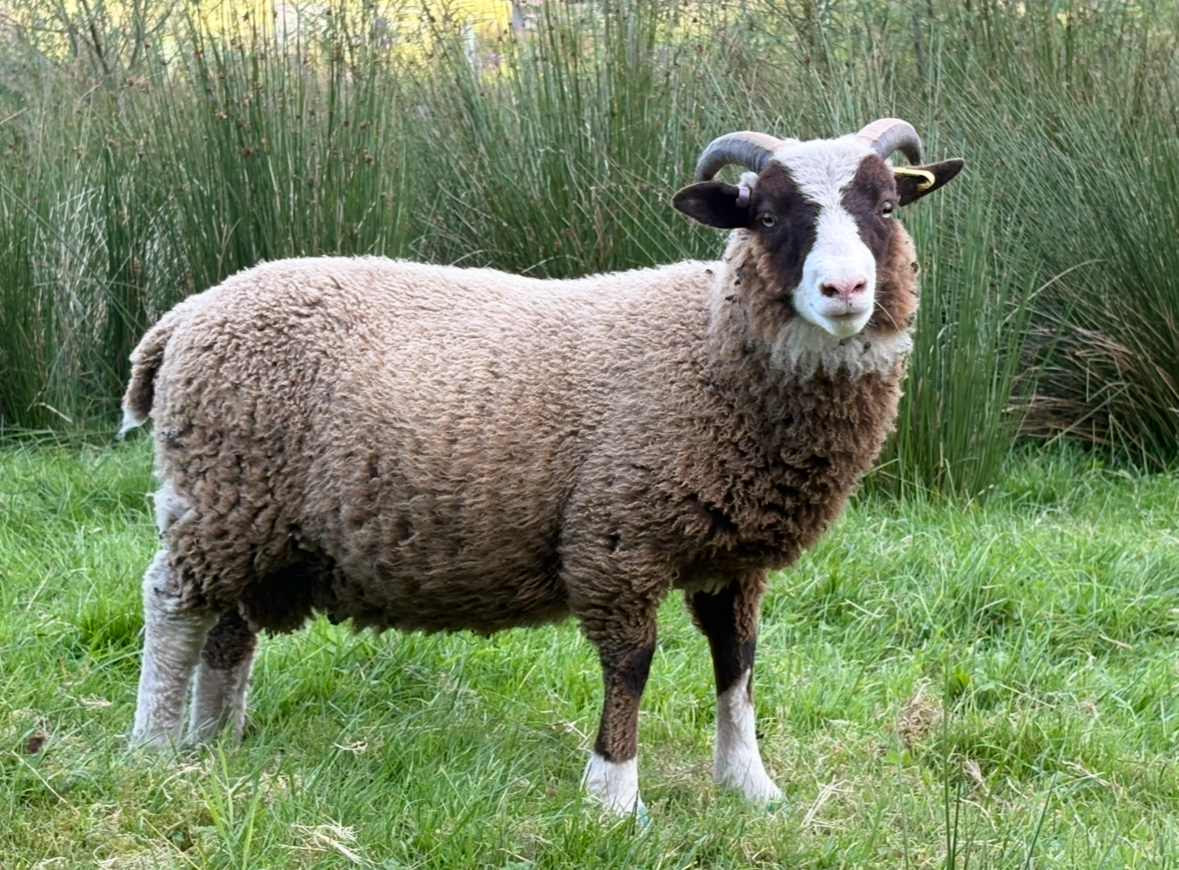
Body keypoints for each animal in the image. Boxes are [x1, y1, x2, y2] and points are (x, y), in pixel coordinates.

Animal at [122, 118, 963, 816]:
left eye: (887, 207)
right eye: (764, 216)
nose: (844, 289)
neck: (706, 347)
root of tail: (185, 316)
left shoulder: (733, 555)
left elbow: (737, 662)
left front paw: (749, 786)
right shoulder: (616, 538)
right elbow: (631, 663)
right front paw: (614, 797)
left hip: (256, 518)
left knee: (229, 627)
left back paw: (215, 744)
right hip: (220, 494)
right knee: (172, 605)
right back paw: (156, 748)